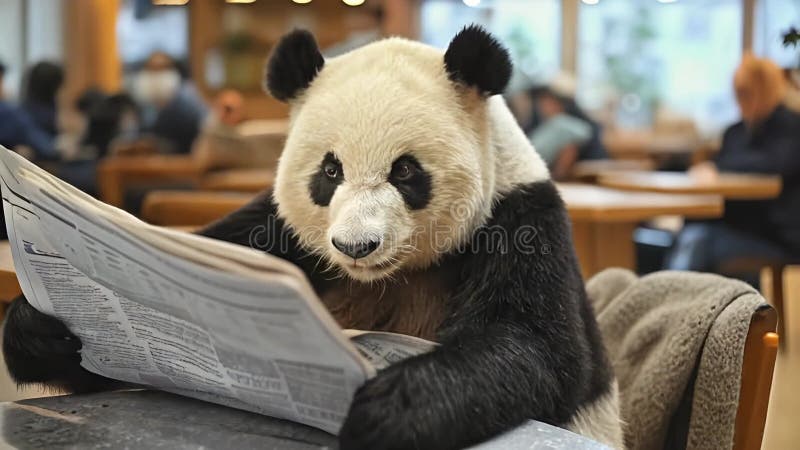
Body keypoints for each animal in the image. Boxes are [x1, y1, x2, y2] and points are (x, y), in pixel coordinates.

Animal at [3, 26, 623, 450]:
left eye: (406, 172)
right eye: (330, 172)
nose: (355, 246)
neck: (392, 276)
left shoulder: (519, 219)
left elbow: (539, 350)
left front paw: (387, 406)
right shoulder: (278, 233)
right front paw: (42, 329)